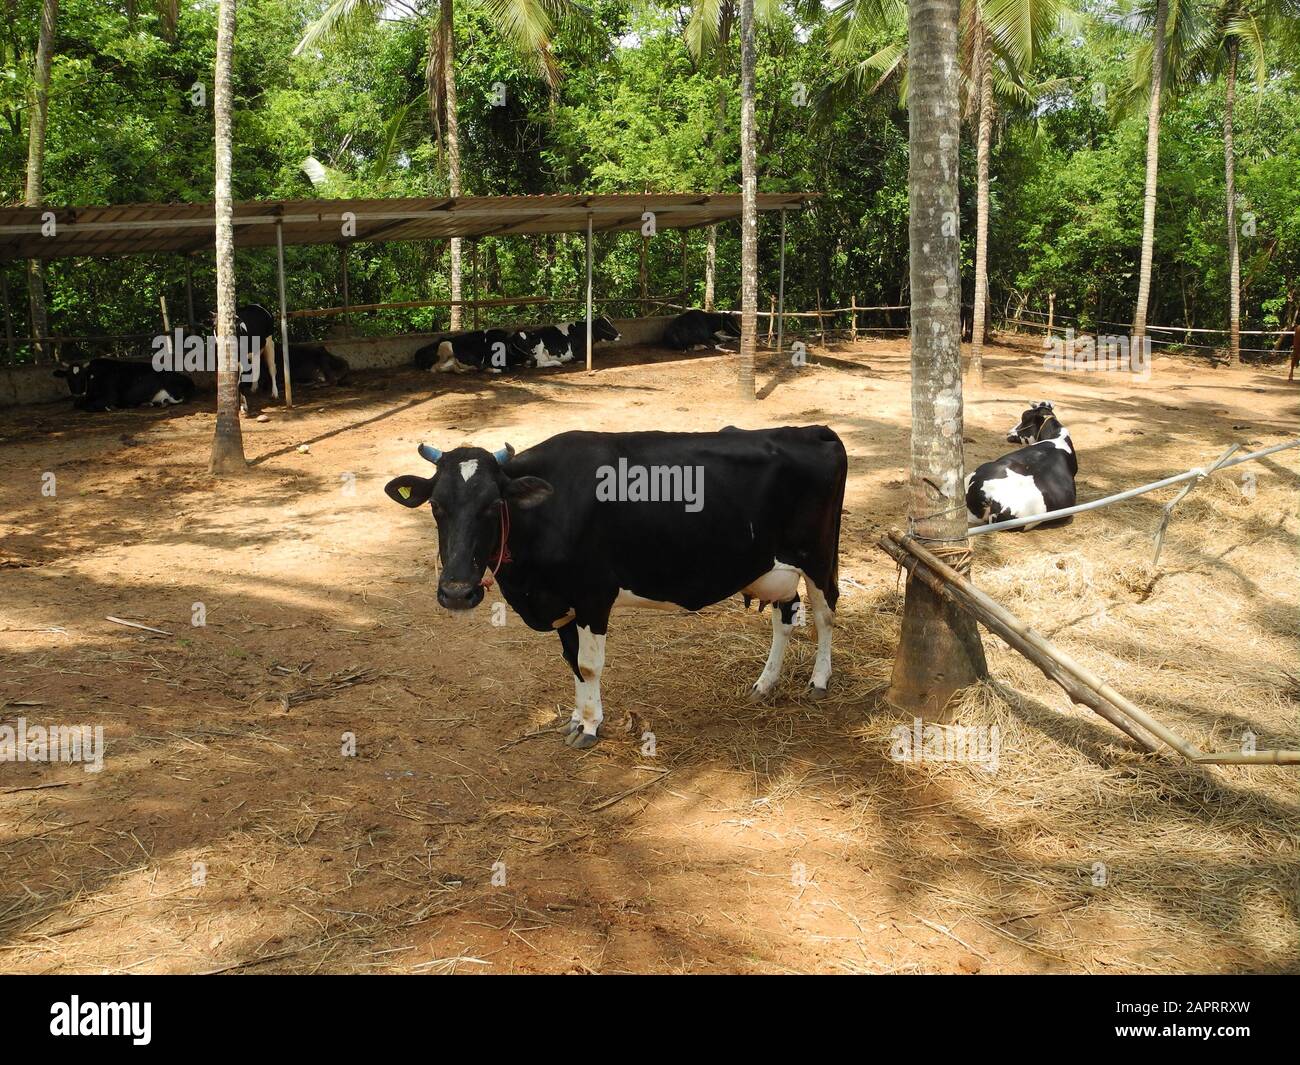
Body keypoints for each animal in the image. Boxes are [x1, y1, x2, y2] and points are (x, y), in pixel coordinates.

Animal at [53, 358, 195, 411]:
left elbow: (89, 406)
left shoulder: (110, 396)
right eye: (68, 378)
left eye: (83, 377)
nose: (78, 393)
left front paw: (110, 407)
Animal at [384, 427, 847, 748]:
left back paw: (819, 681)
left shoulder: (593, 596)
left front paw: (589, 727)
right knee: (785, 617)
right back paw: (765, 684)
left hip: (818, 557)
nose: (457, 592)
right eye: (436, 505)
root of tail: (812, 430)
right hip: (774, 566)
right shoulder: (562, 600)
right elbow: (572, 662)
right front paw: (578, 717)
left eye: (493, 505)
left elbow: (589, 665)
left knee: (825, 614)